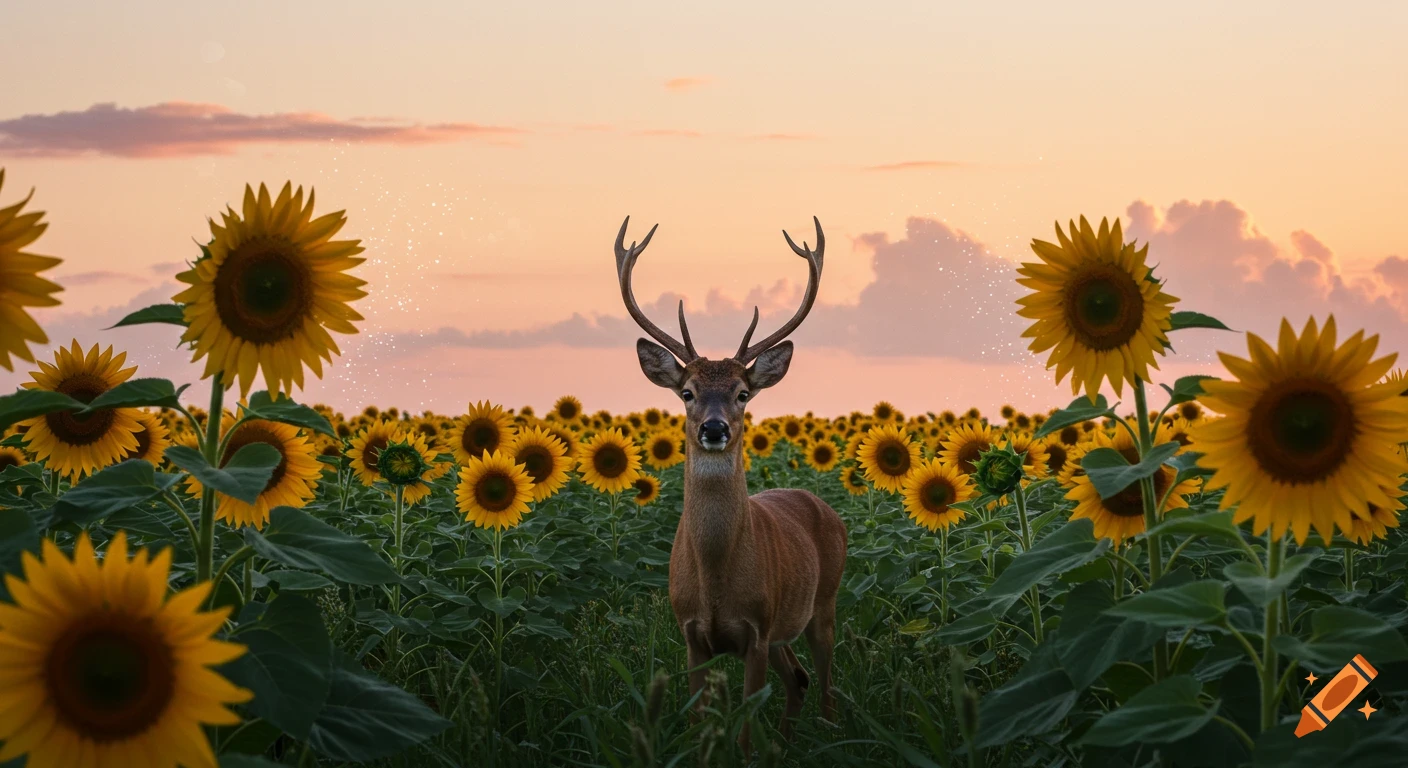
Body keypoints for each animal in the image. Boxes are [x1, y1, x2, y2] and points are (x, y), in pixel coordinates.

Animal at [613, 216, 848, 750]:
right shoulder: (692, 634)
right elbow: (699, 723)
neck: (717, 577)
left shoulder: (757, 630)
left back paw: (828, 735)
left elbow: (742, 731)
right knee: (799, 678)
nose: (714, 428)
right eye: (687, 392)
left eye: (743, 392)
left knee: (826, 681)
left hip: (823, 603)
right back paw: (785, 744)